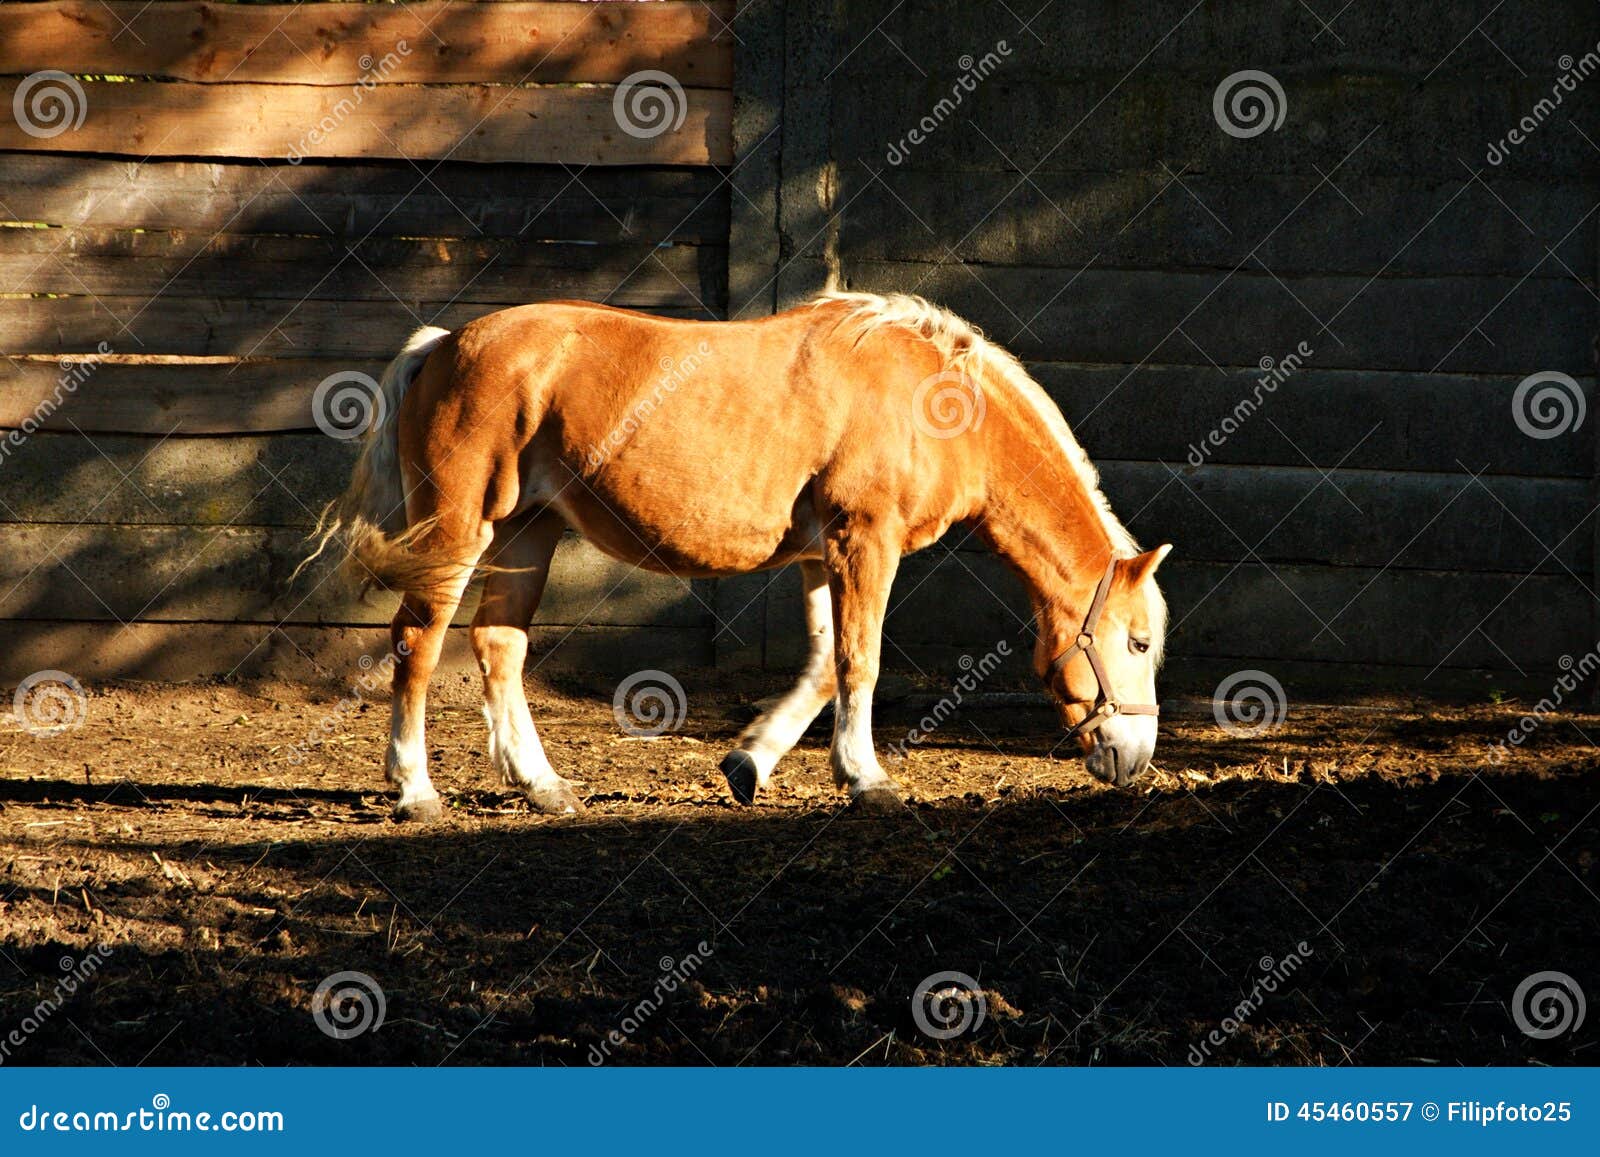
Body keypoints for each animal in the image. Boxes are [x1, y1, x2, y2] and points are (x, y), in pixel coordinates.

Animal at [305, 292, 1171, 820]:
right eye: (1135, 642)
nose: (1135, 757)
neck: (938, 401)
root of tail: (445, 344)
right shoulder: (866, 541)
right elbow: (860, 661)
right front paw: (867, 779)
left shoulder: (823, 554)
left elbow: (823, 665)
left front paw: (751, 762)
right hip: (458, 530)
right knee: (417, 644)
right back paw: (414, 788)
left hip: (528, 531)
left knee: (498, 648)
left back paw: (542, 784)